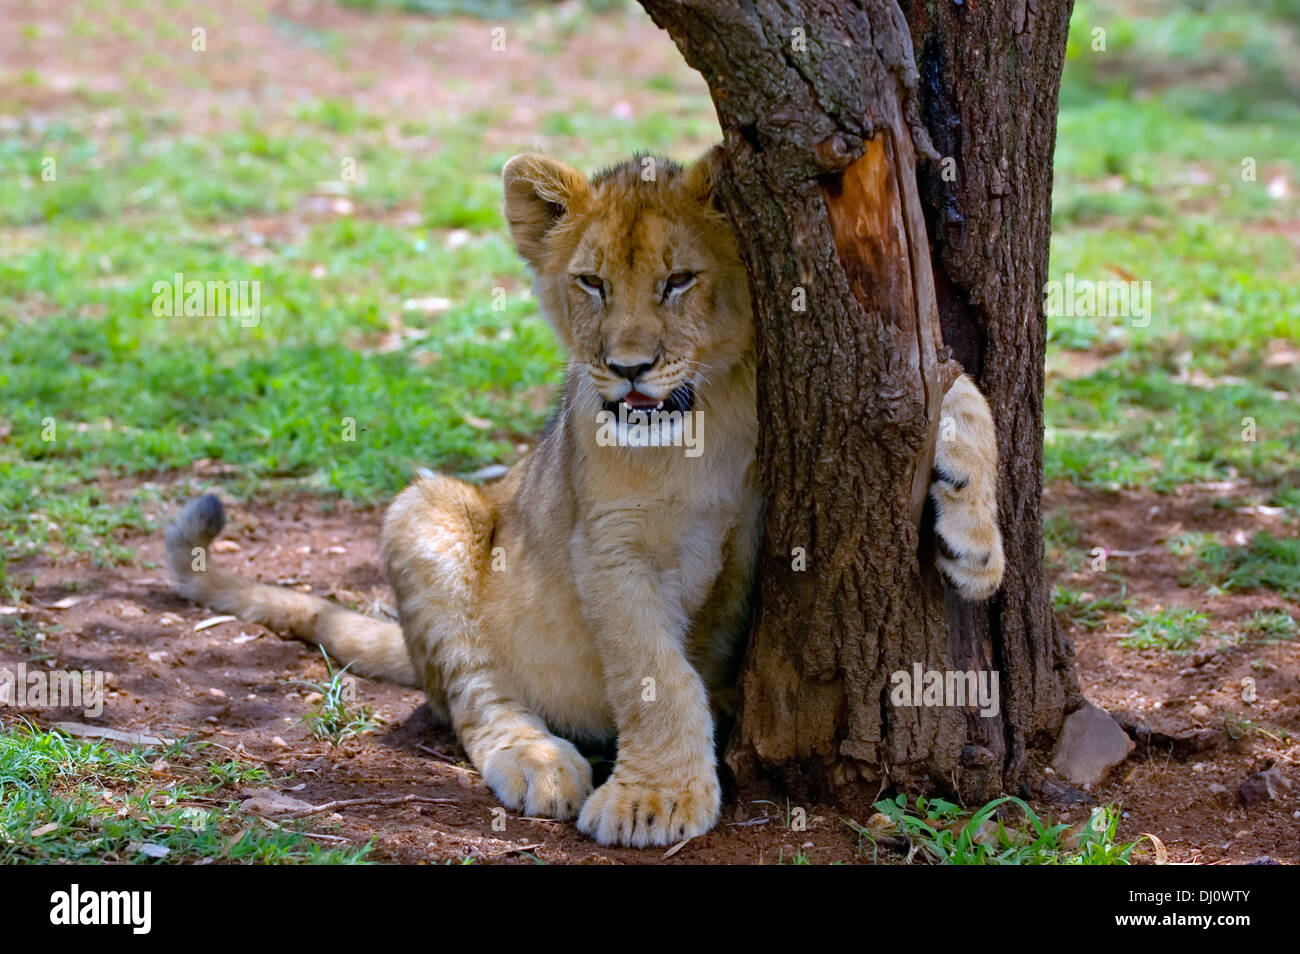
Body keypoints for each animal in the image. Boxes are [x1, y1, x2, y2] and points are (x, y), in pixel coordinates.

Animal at [165, 149, 1004, 847]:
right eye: (591, 283)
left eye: (678, 280)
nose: (628, 368)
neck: (707, 418)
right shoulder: (611, 546)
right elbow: (656, 677)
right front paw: (655, 801)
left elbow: (953, 389)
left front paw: (977, 549)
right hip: (425, 513)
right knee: (473, 696)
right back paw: (537, 762)